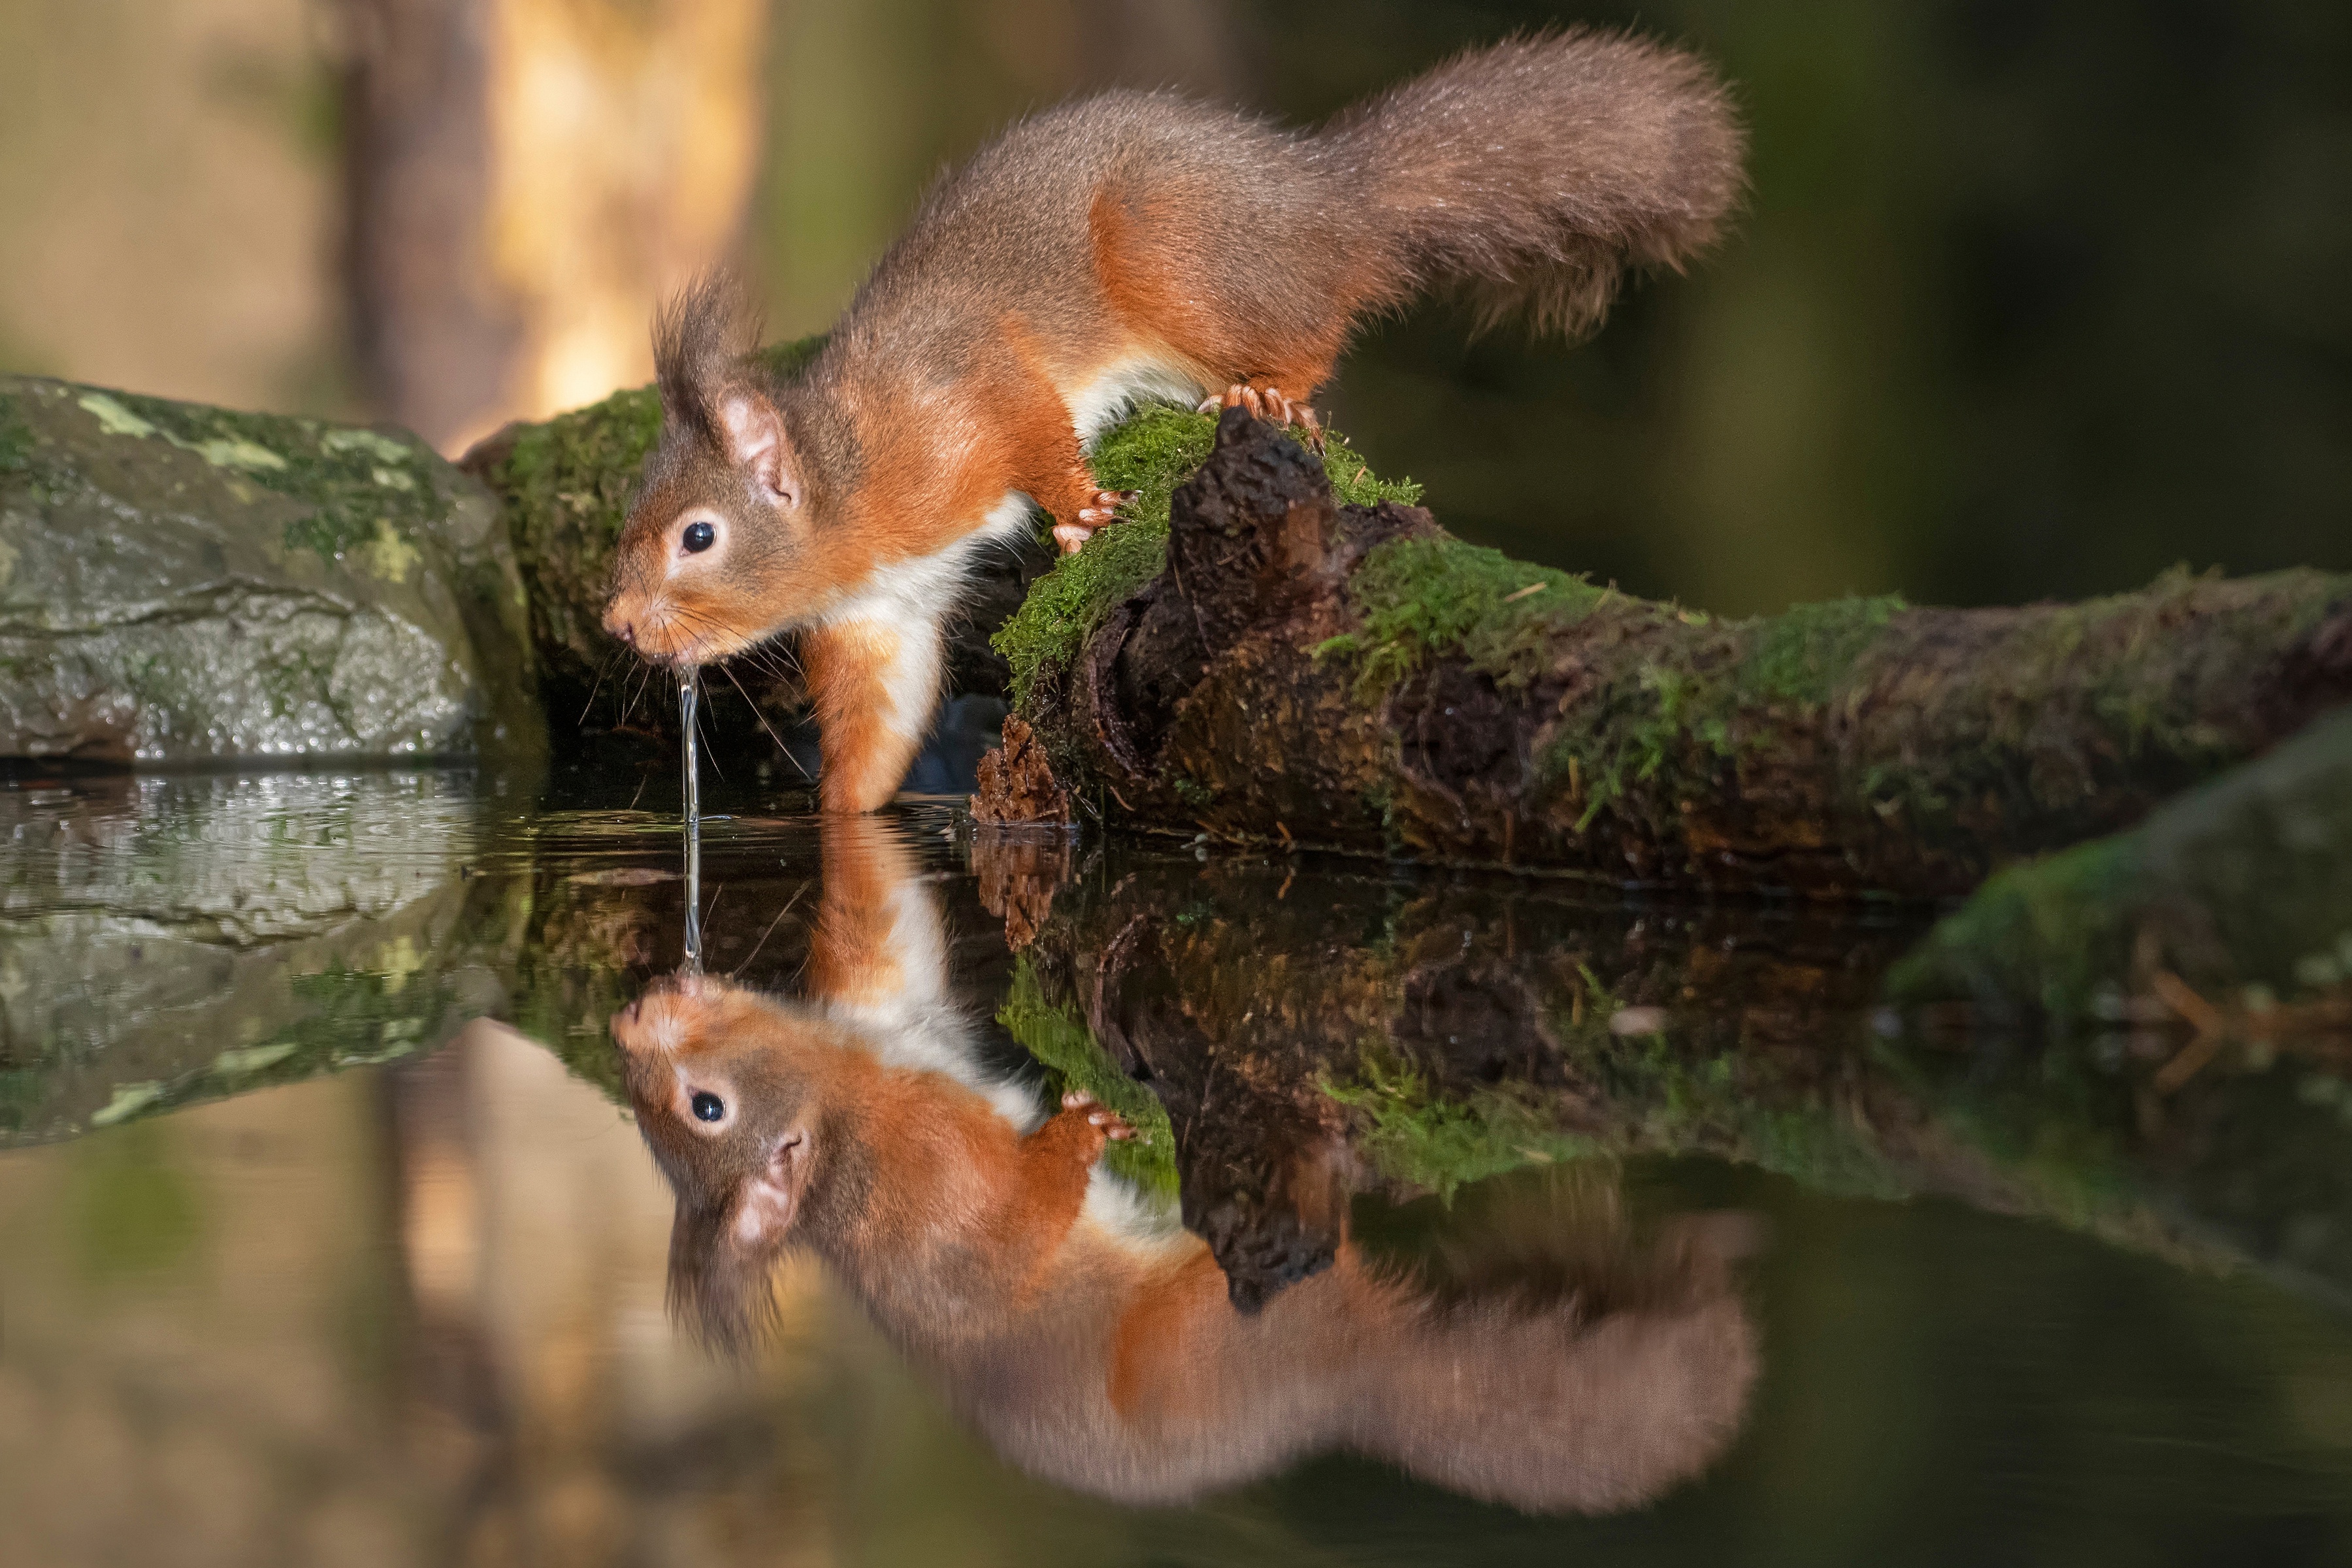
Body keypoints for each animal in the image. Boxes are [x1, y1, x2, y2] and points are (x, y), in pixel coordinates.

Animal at [600, 29, 1746, 812]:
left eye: (698, 536)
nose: (618, 624)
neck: (854, 475)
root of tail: (1327, 203)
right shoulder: (883, 616)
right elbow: (878, 726)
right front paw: (840, 819)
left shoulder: (970, 386)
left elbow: (1033, 425)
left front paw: (1080, 510)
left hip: (1167, 246)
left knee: (1312, 334)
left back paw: (1264, 390)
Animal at [610, 817, 1760, 1512]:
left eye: (699, 1109)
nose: (635, 1016)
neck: (850, 1115)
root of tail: (1342, 1371)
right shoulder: (942, 1193)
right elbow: (1021, 1217)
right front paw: (1077, 1135)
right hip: (1193, 1338)